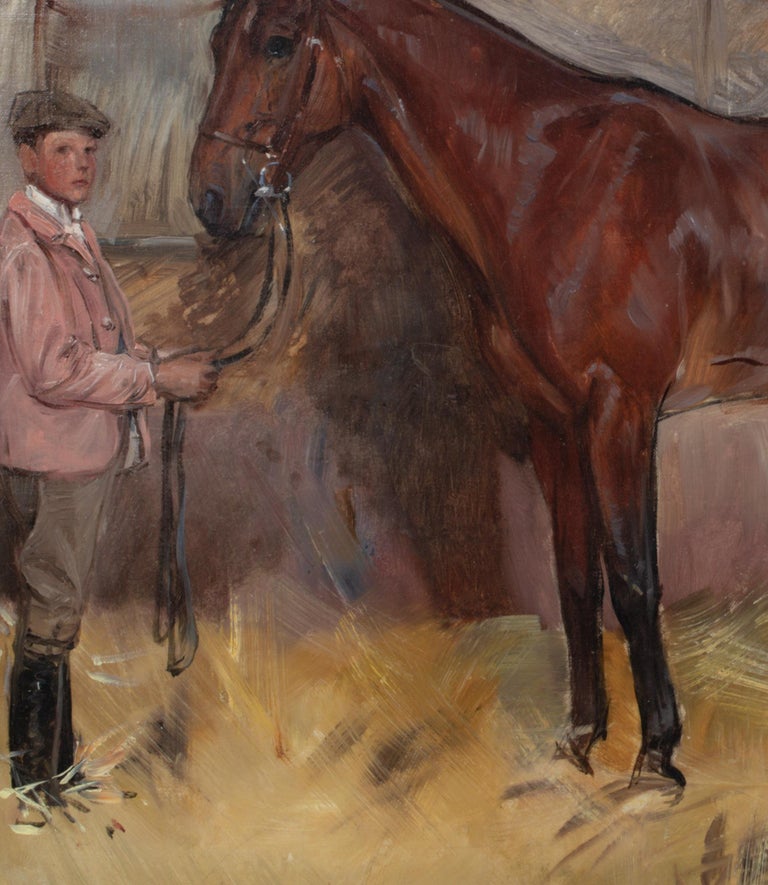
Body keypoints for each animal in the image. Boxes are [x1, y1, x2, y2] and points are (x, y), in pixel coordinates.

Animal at [188, 0, 768, 787]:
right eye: (218, 42)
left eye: (278, 45)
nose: (210, 197)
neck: (558, 181)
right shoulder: (555, 420)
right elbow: (575, 577)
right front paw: (580, 737)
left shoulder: (621, 410)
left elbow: (634, 578)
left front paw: (655, 758)